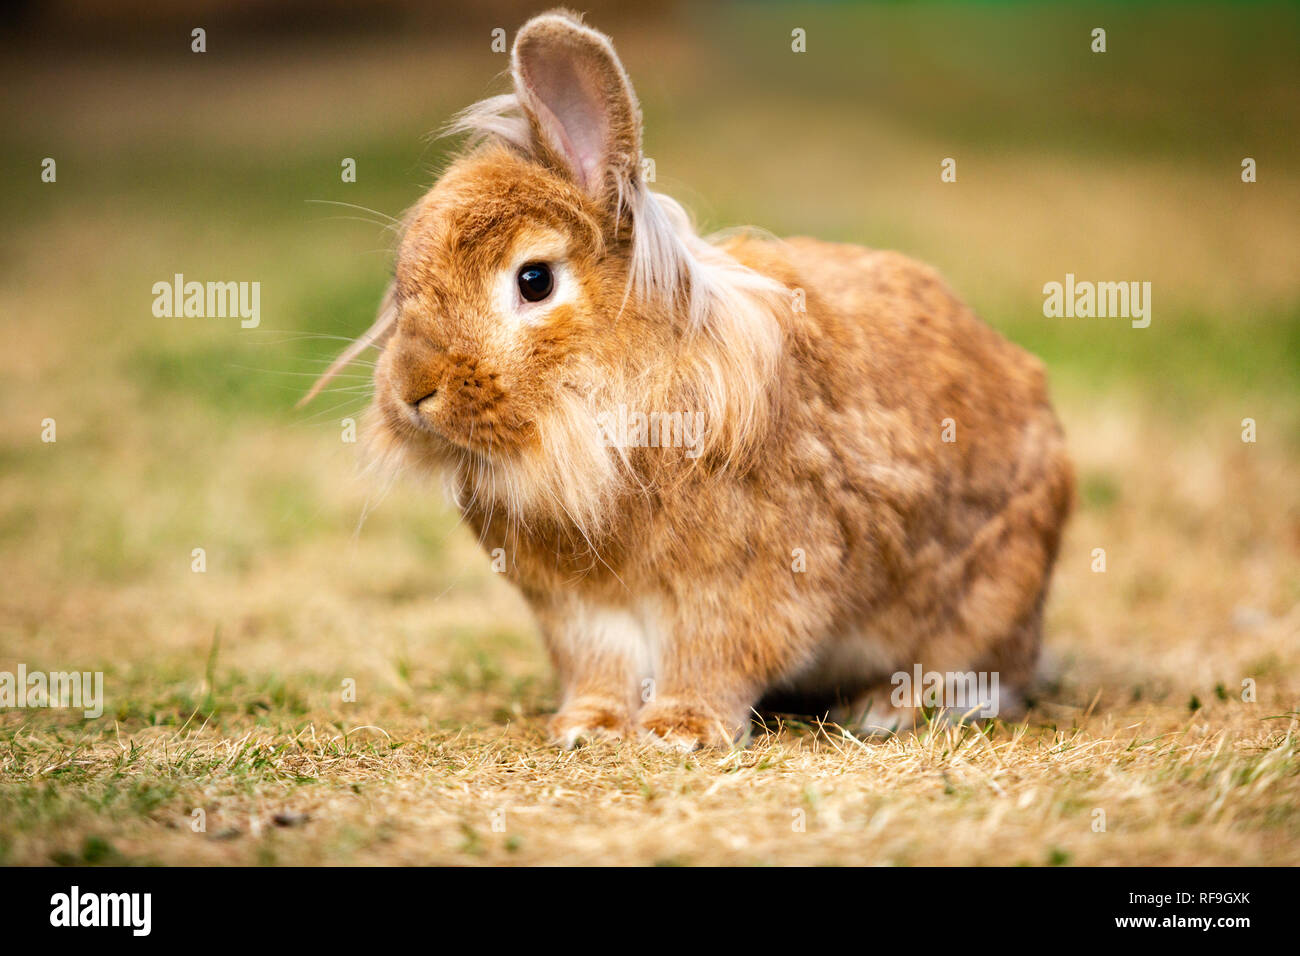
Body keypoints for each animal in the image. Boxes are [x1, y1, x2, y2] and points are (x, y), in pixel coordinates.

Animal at [304, 9, 1074, 751]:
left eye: (534, 280)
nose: (414, 391)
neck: (607, 411)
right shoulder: (583, 612)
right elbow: (600, 666)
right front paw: (587, 726)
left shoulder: (743, 587)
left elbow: (714, 661)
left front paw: (680, 731)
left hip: (985, 603)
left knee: (980, 680)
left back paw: (885, 709)